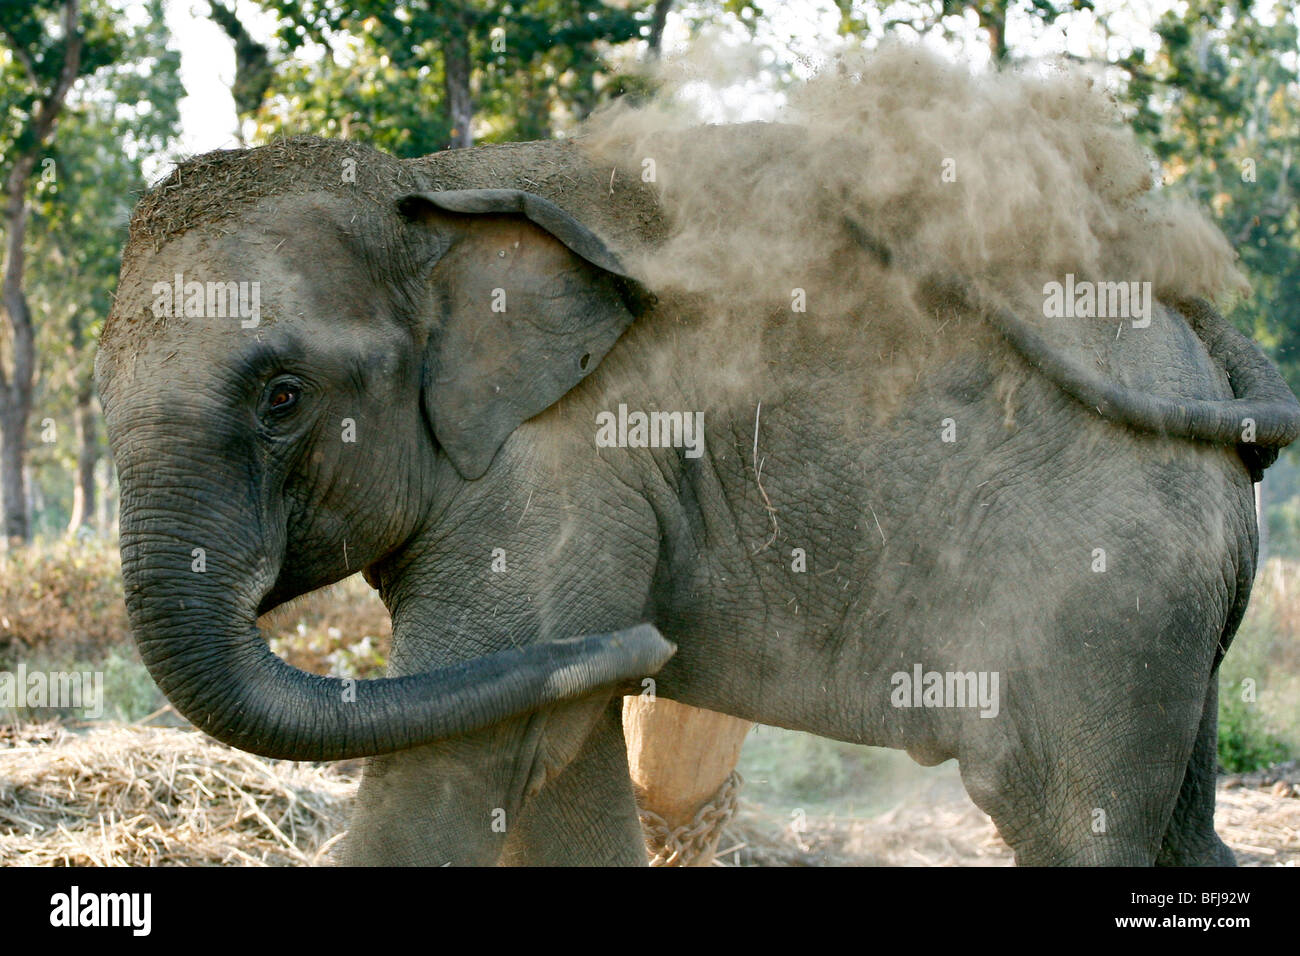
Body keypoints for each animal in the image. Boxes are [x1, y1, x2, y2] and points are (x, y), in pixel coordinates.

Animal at [96, 126, 1300, 867]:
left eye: (281, 398)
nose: (654, 641)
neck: (428, 187)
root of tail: (1197, 329)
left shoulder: (562, 473)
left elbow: (464, 758)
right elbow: (552, 750)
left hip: (1102, 590)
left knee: (1064, 814)